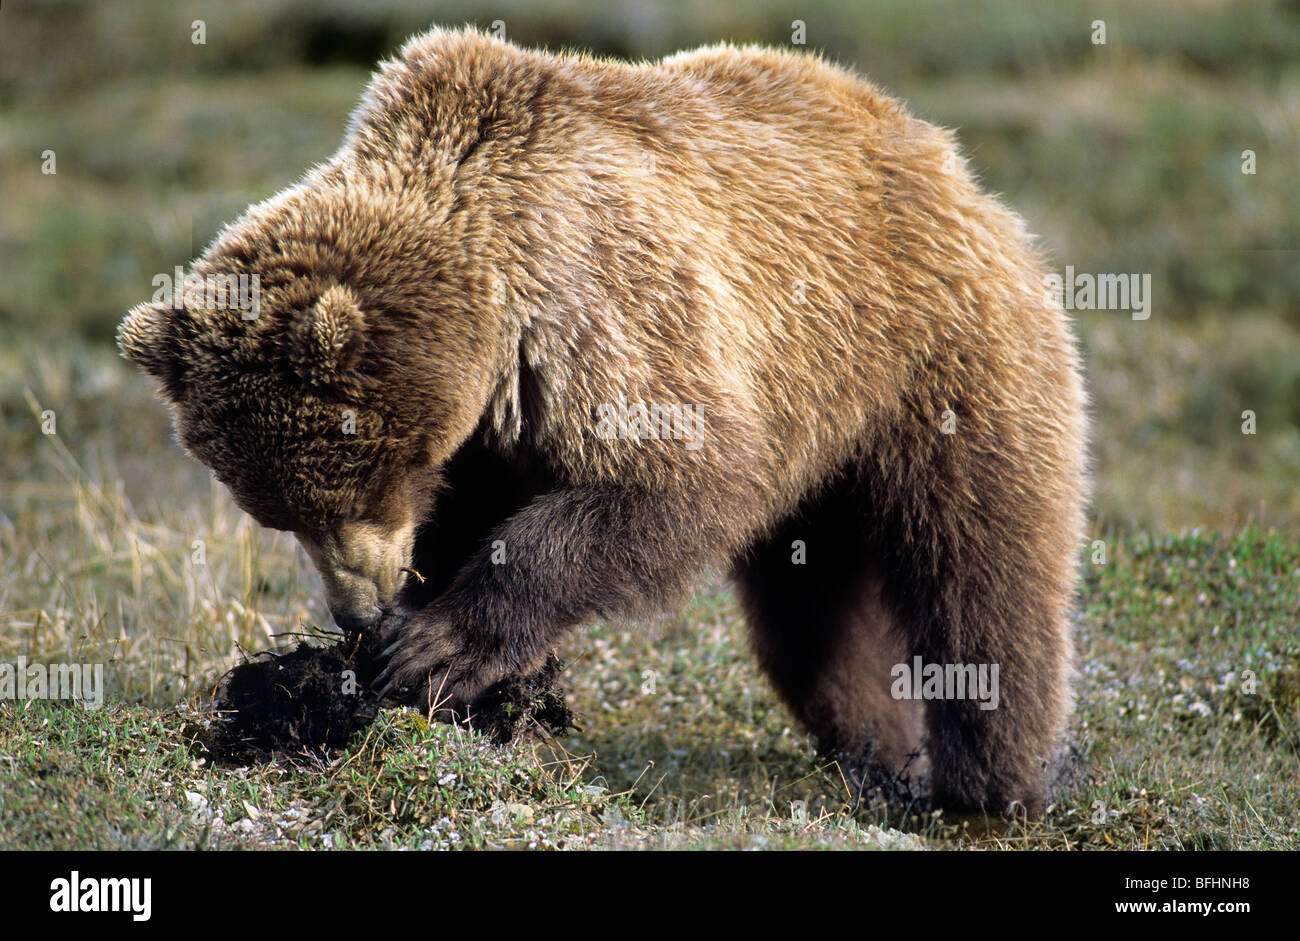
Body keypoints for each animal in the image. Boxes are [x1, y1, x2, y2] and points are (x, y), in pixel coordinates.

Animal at [118, 27, 1088, 815]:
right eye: (276, 513)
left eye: (351, 491)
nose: (358, 612)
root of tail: (946, 159)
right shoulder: (493, 426)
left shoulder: (599, 305)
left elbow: (668, 476)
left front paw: (436, 649)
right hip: (822, 428)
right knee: (810, 618)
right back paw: (873, 746)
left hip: (937, 356)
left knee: (983, 567)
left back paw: (989, 780)